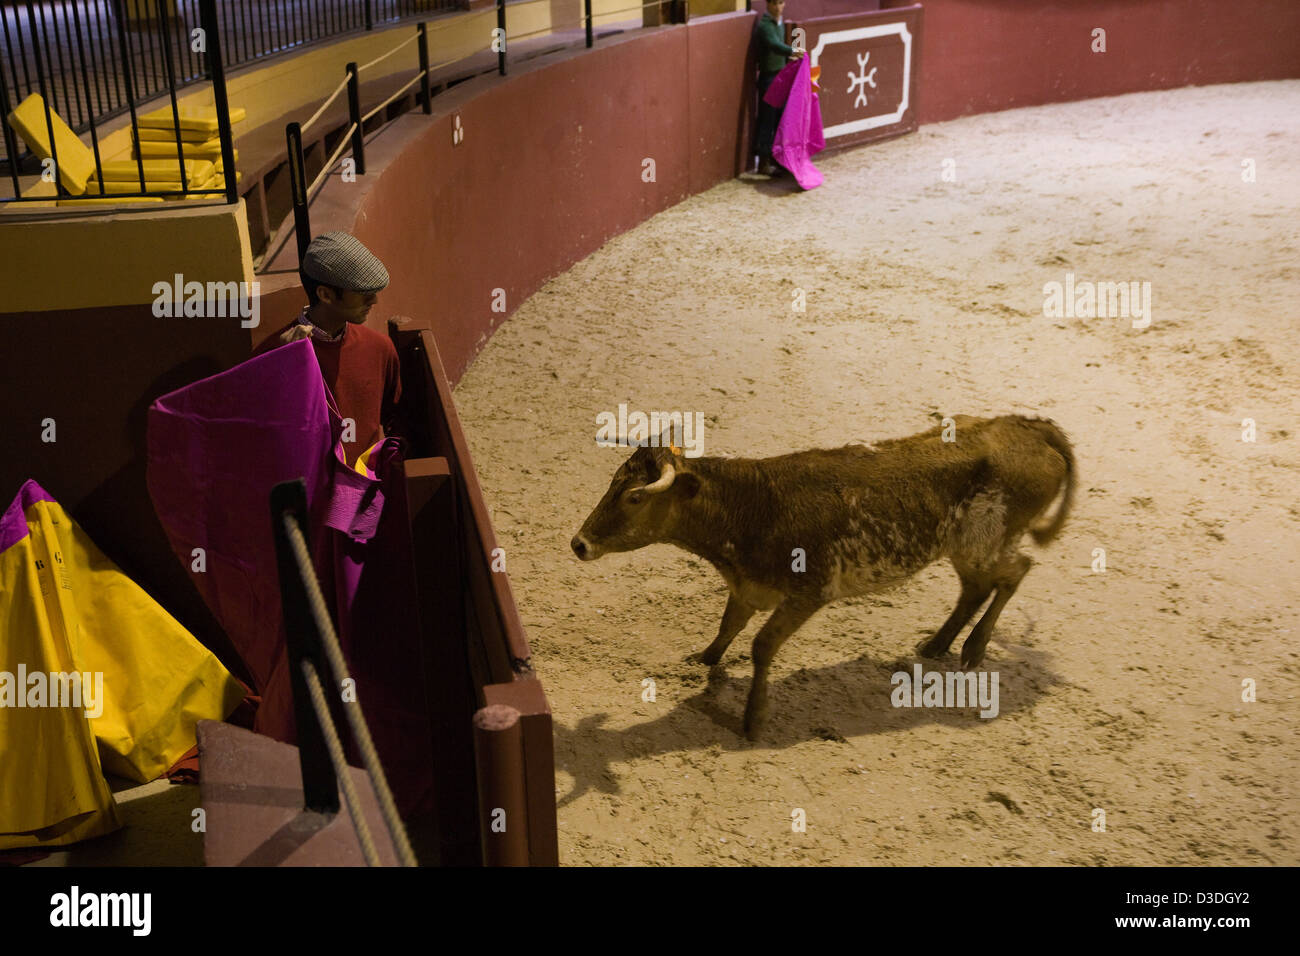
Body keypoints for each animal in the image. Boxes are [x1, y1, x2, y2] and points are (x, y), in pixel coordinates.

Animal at [571, 415, 1075, 740]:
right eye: (613, 482)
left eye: (635, 497)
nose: (579, 543)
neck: (756, 505)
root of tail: (1030, 426)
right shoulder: (747, 586)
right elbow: (729, 624)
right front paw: (706, 659)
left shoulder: (809, 594)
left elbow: (761, 646)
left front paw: (754, 719)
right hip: (964, 550)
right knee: (974, 589)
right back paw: (938, 645)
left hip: (986, 544)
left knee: (1014, 573)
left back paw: (973, 648)